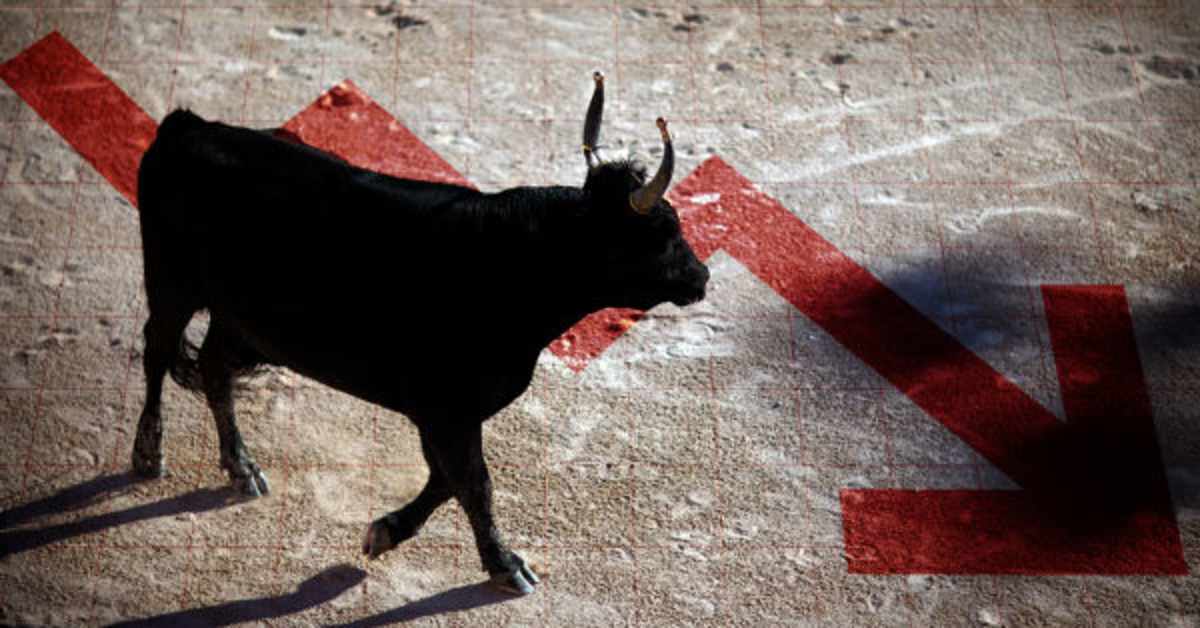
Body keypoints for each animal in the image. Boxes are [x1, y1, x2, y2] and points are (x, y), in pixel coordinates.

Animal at [131, 72, 710, 594]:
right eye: (663, 232)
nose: (701, 276)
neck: (517, 264)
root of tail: (189, 125)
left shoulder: (447, 413)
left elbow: (446, 481)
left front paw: (387, 531)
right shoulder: (447, 410)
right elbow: (473, 483)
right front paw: (505, 565)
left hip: (238, 317)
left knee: (213, 367)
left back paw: (241, 466)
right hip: (170, 281)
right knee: (157, 349)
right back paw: (148, 454)